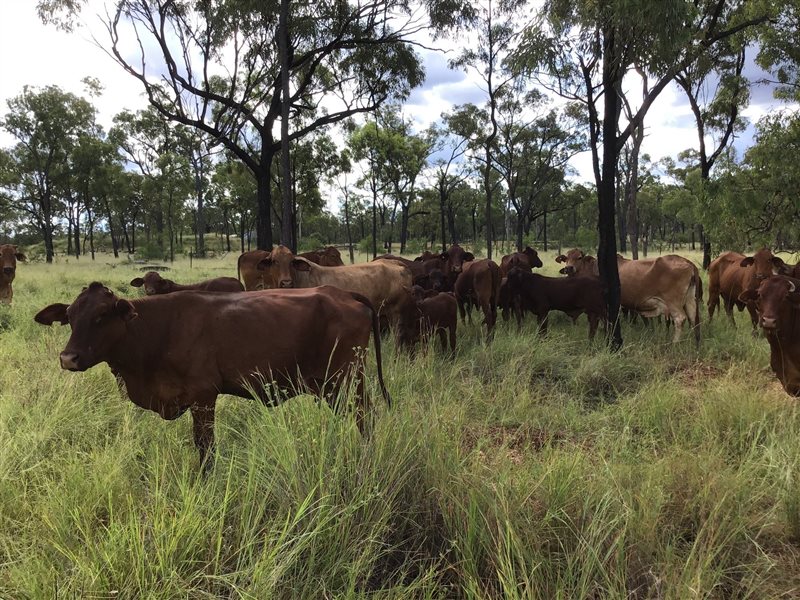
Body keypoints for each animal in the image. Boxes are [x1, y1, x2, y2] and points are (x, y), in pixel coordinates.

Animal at [34, 282, 391, 466]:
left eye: (102, 315)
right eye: (69, 316)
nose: (68, 358)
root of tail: (340, 292)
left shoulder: (203, 396)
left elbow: (205, 448)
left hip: (349, 378)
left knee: (365, 418)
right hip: (331, 386)